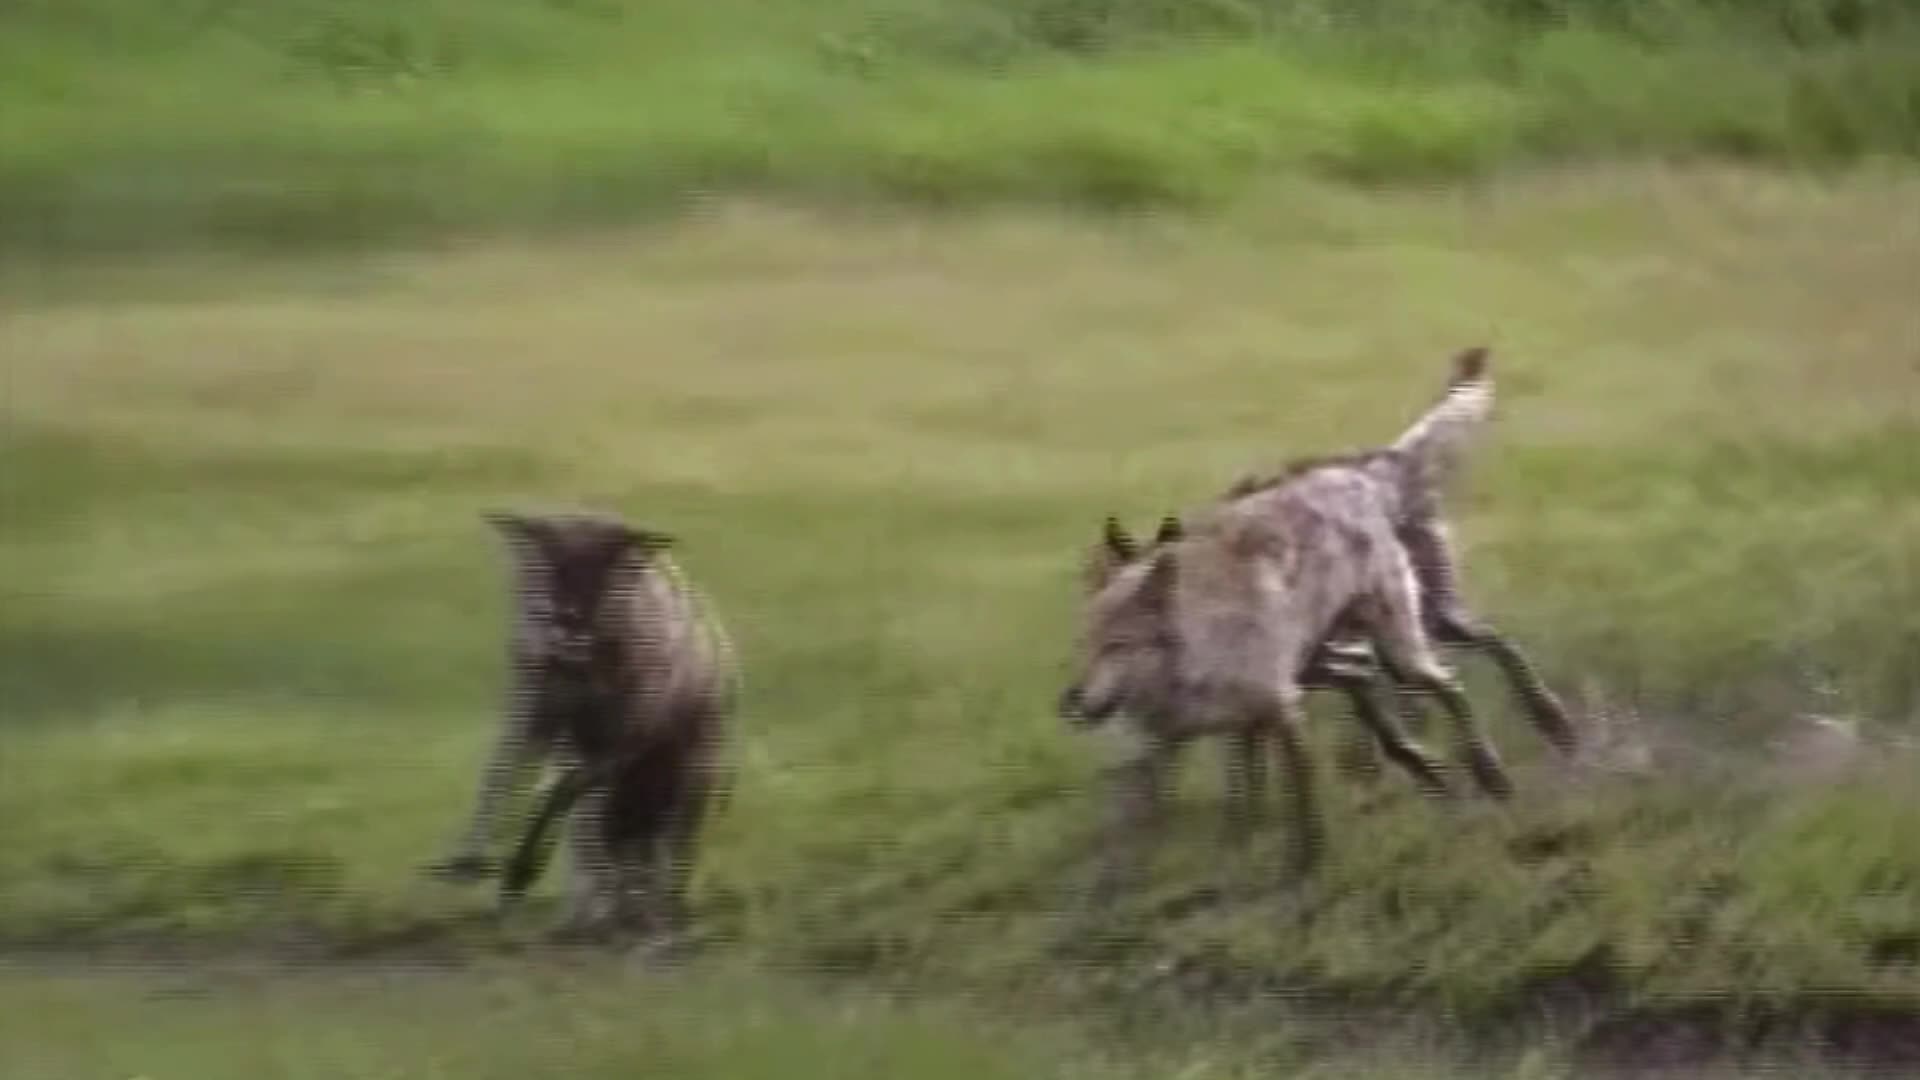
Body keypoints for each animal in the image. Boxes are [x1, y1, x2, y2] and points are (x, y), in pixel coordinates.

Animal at [425, 510, 738, 939]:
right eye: (546, 599)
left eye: (594, 603)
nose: (564, 631)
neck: (582, 673)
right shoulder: (534, 716)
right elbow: (499, 783)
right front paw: (474, 859)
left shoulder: (625, 736)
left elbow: (557, 799)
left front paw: (519, 868)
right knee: (604, 848)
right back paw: (593, 913)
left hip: (691, 778)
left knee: (660, 854)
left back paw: (650, 913)